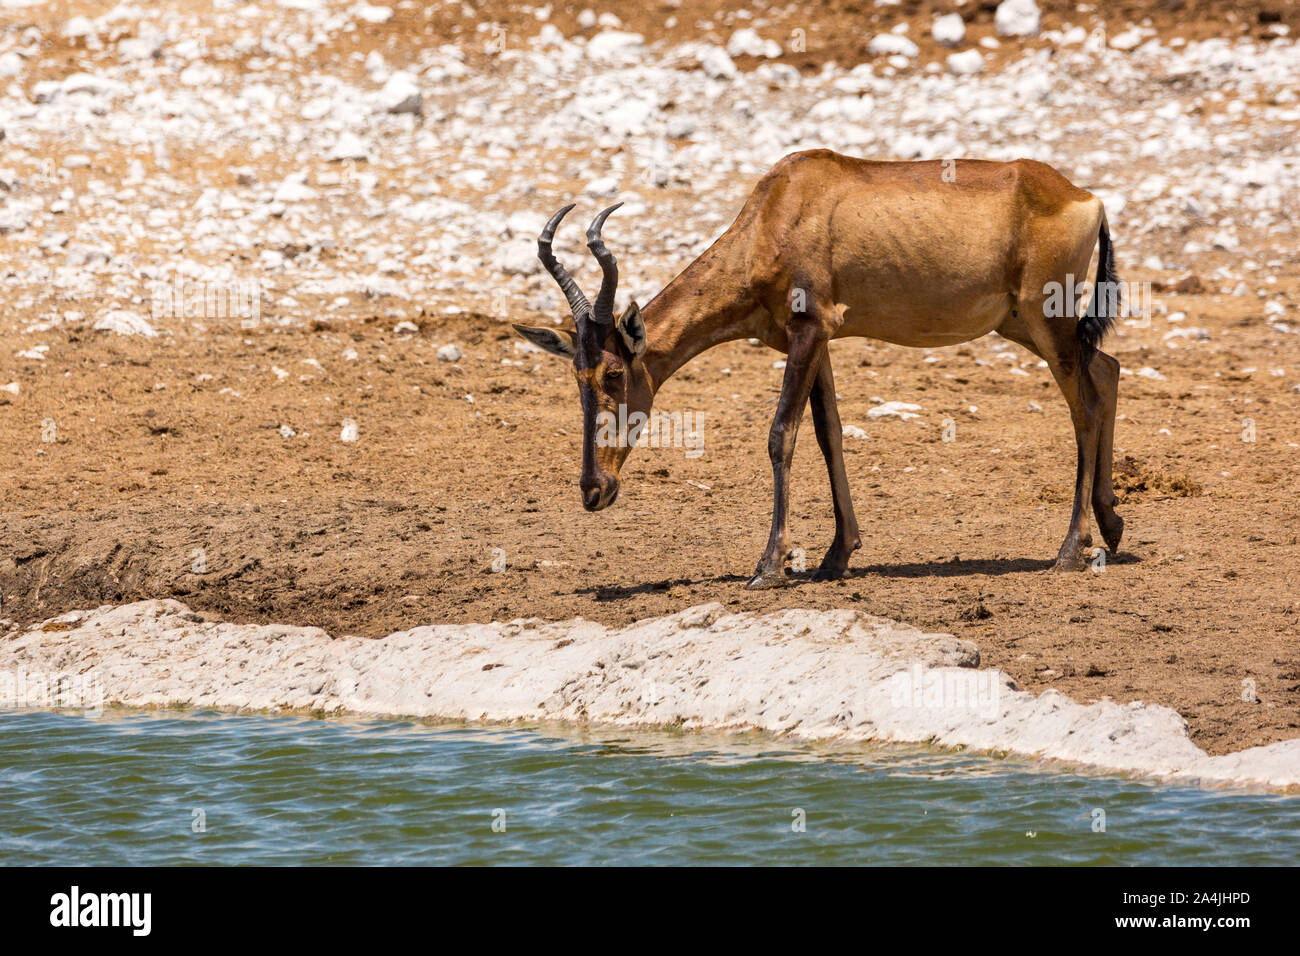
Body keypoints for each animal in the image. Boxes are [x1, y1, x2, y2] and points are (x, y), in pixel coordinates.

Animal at [514, 150, 1122, 588]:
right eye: (576, 377)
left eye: (614, 374)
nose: (595, 490)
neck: (781, 207)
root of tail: (1086, 198)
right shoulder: (817, 339)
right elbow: (829, 434)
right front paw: (836, 554)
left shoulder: (809, 330)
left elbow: (781, 434)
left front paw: (769, 566)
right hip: (1020, 323)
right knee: (1108, 369)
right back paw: (1111, 527)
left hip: (1047, 318)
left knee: (1085, 406)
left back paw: (1070, 551)